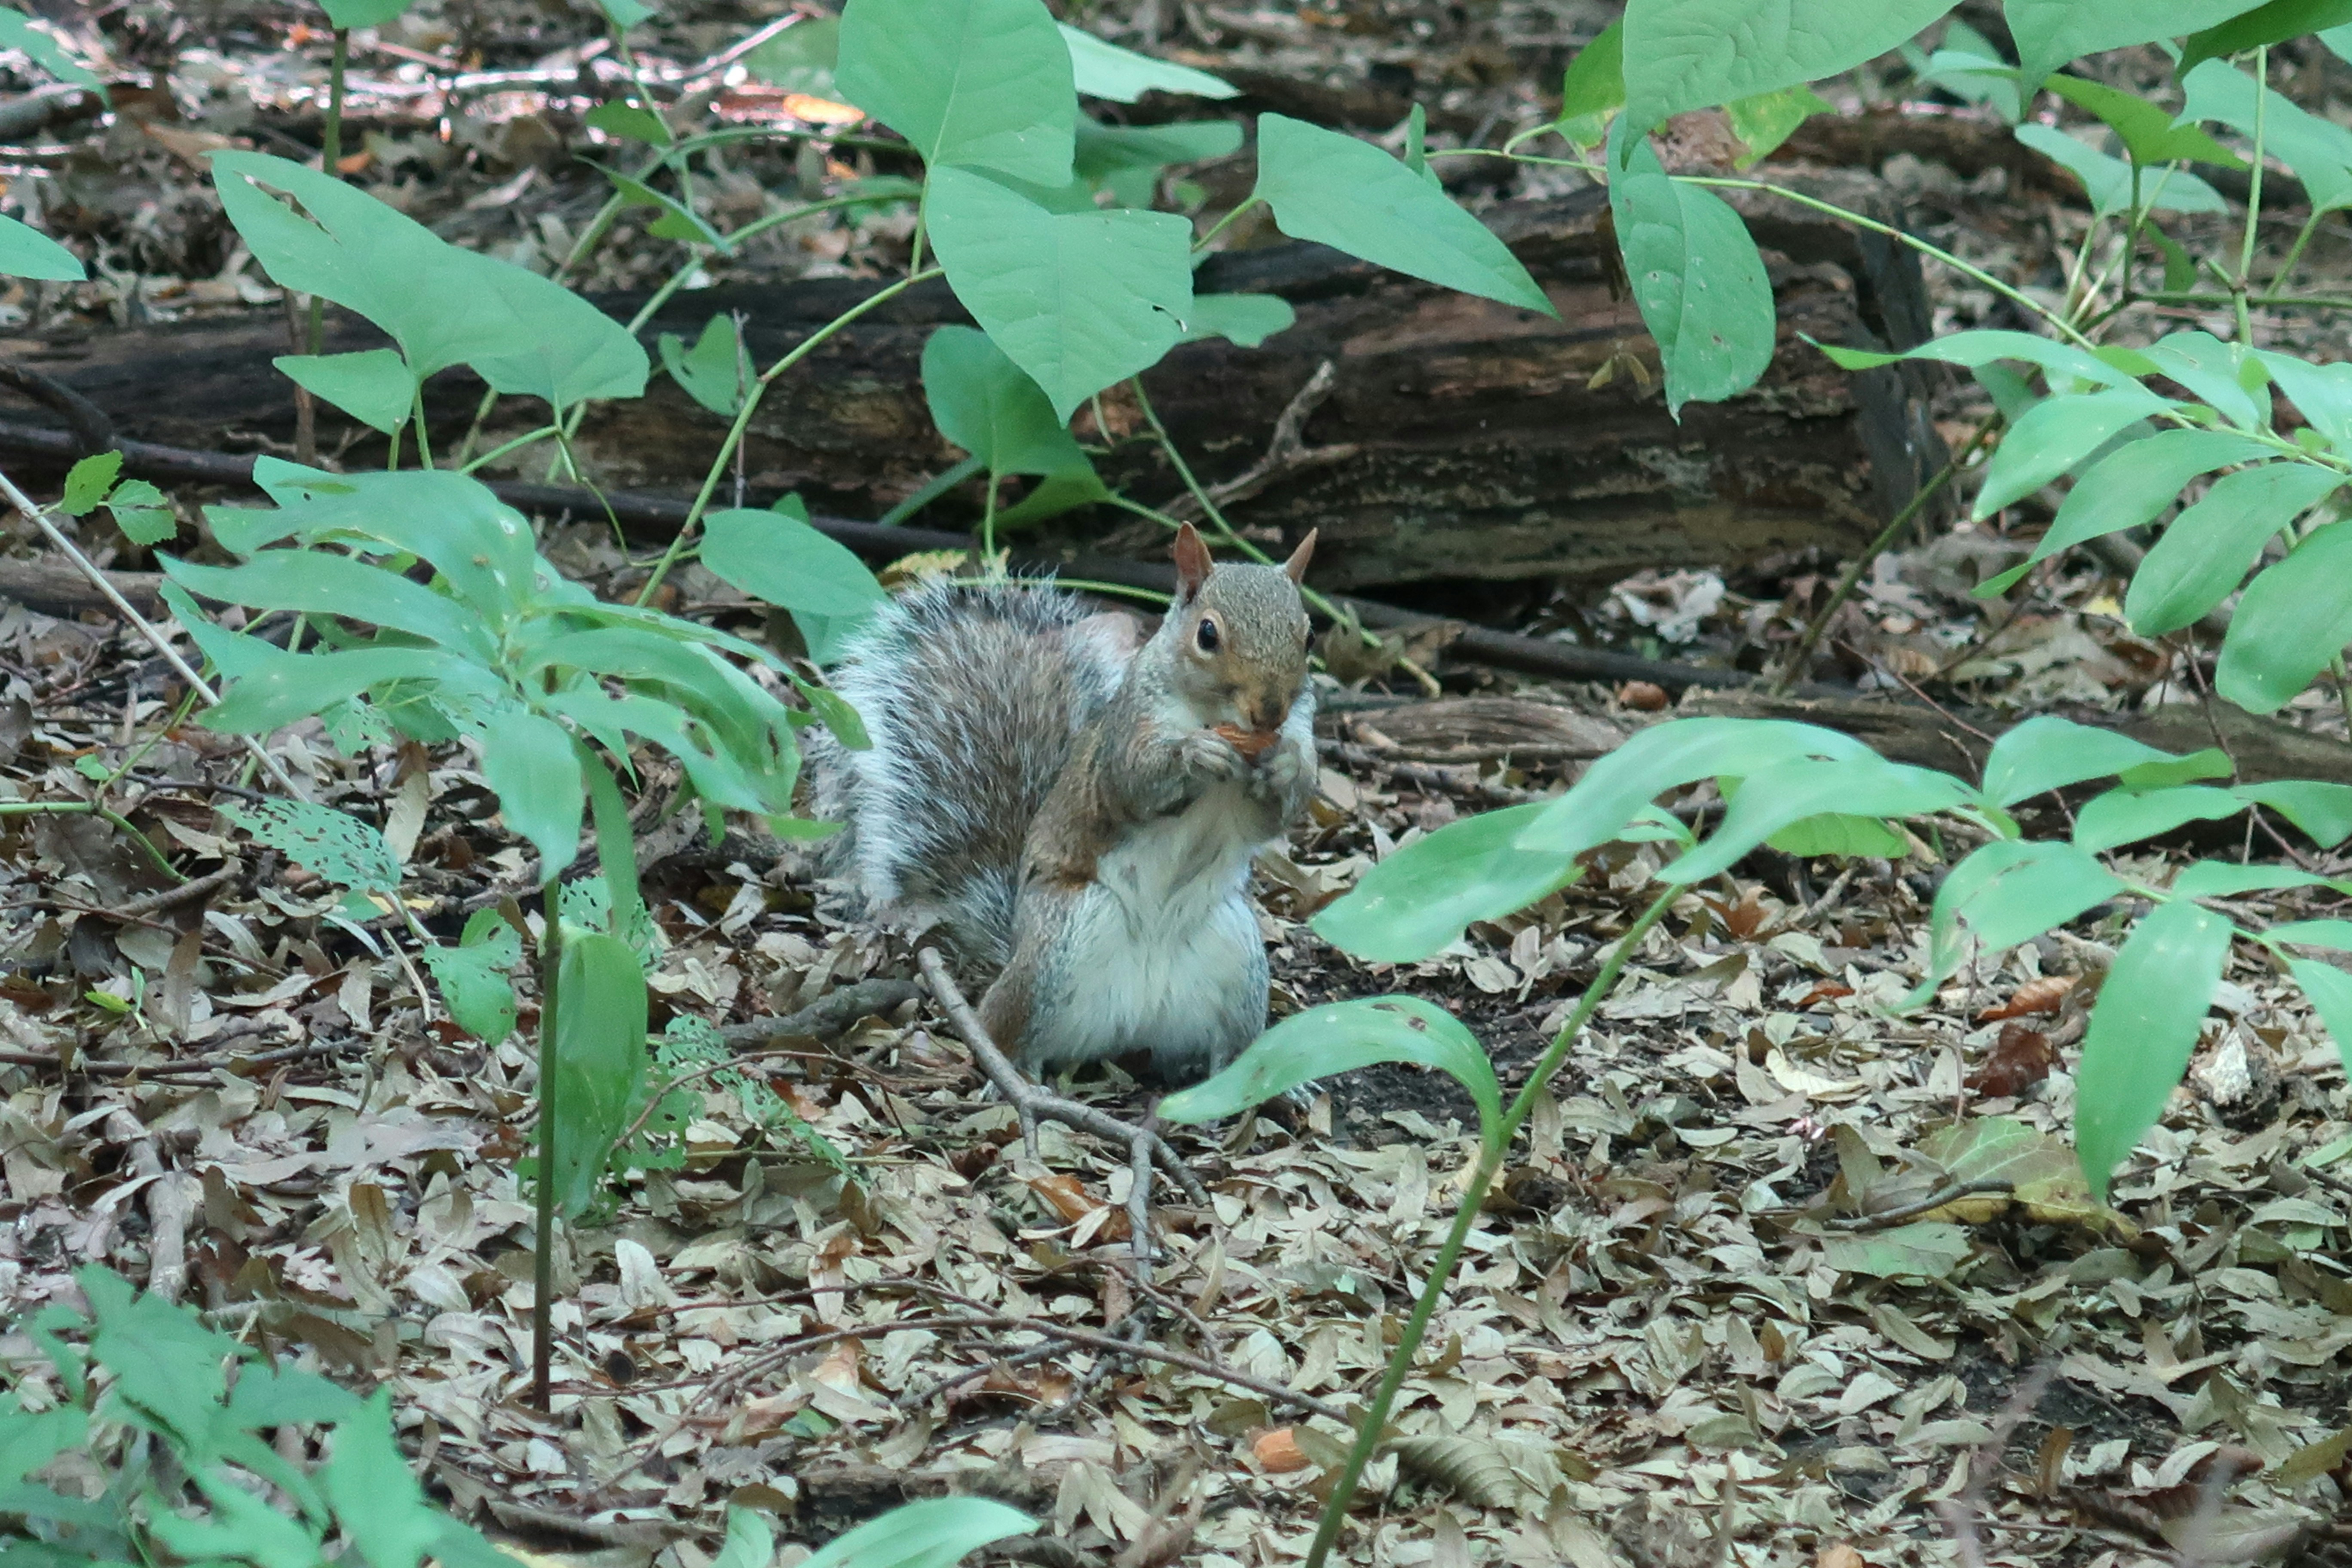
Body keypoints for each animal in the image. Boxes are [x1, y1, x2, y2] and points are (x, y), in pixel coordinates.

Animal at [806, 523, 1319, 1082]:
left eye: (1309, 635)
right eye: (1208, 635)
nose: (1270, 711)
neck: (1218, 716)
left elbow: (1268, 818)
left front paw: (1287, 767)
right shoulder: (1123, 740)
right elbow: (1133, 784)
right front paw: (1195, 753)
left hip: (1237, 959)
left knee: (1228, 1051)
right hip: (1058, 940)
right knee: (1001, 1025)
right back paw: (1012, 1074)